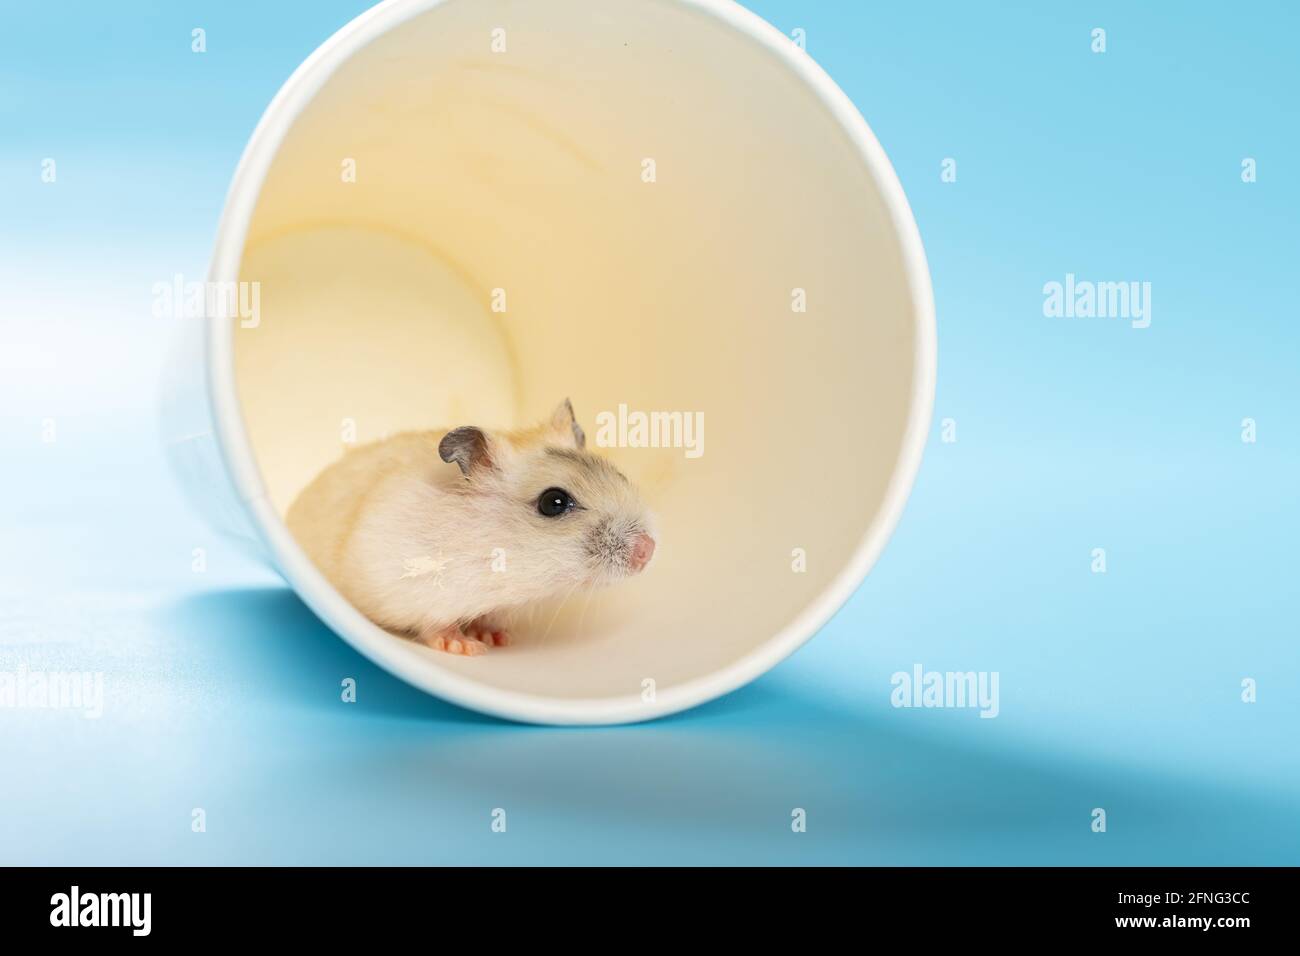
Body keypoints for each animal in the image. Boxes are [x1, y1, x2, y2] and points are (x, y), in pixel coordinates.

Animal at [286, 400, 657, 655]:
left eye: (618, 474)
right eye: (553, 502)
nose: (648, 551)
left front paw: (498, 638)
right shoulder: (414, 585)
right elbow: (436, 622)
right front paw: (466, 647)